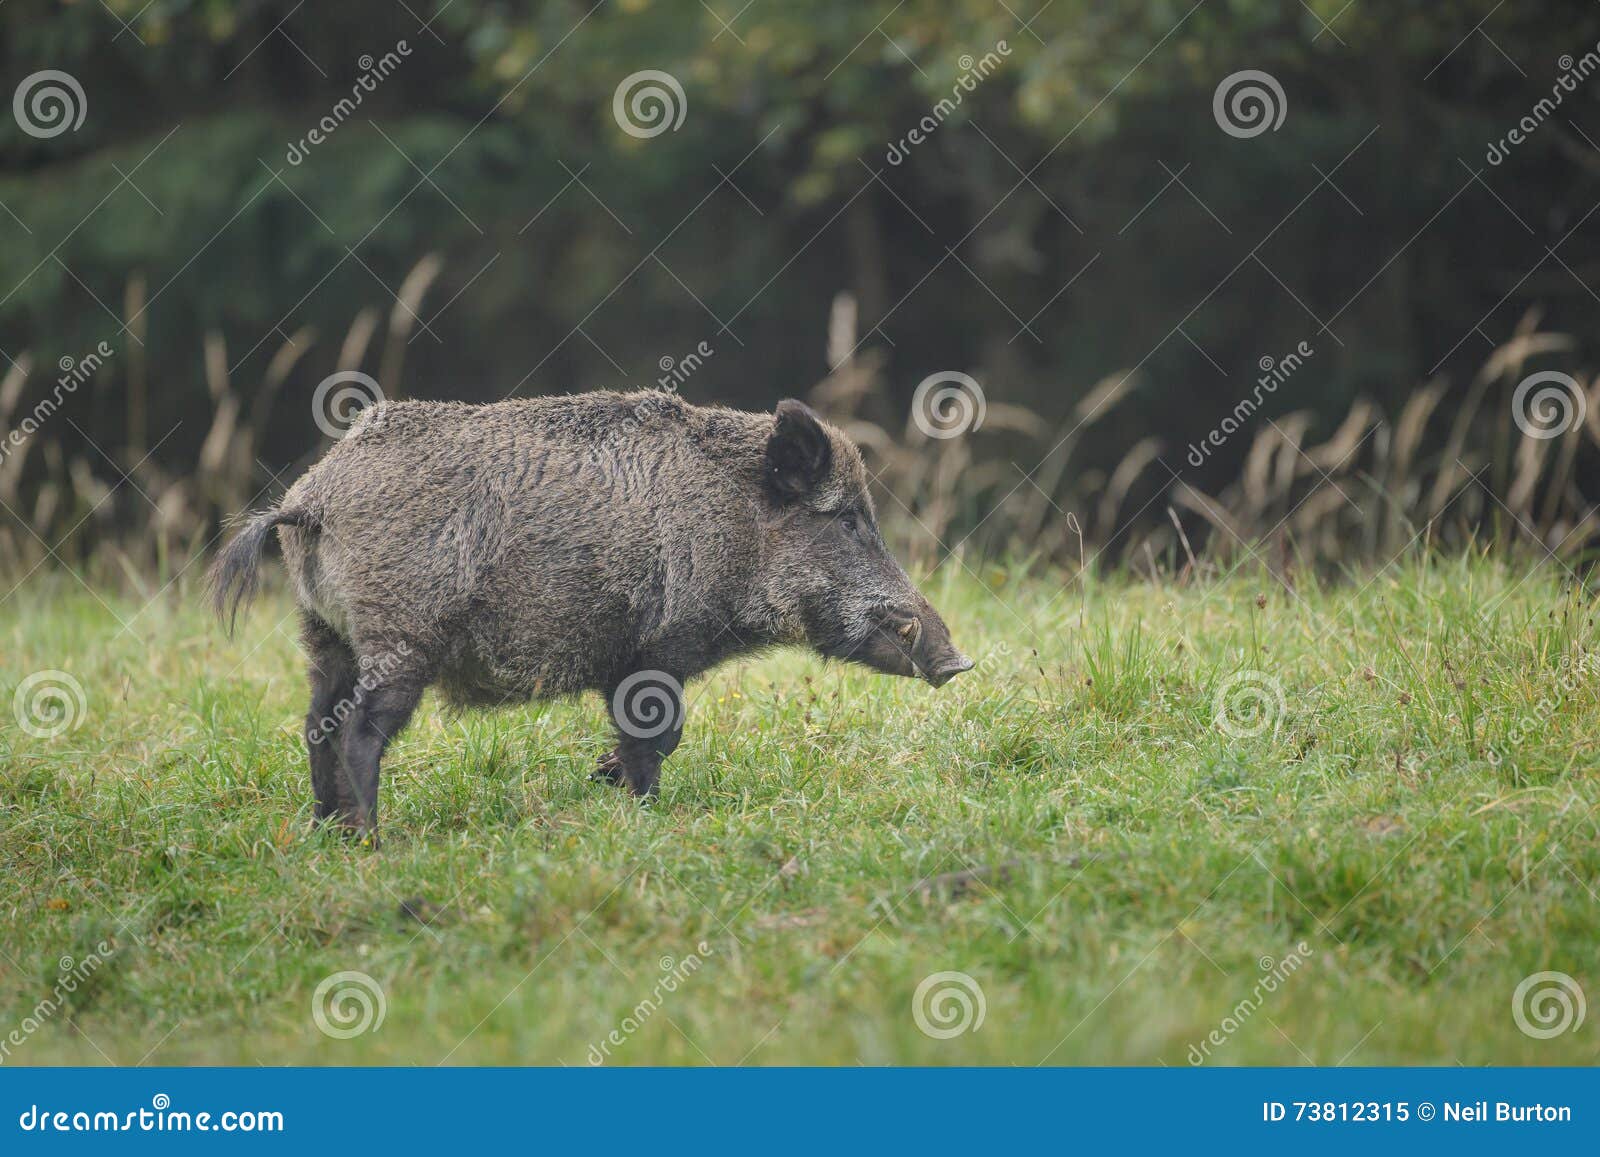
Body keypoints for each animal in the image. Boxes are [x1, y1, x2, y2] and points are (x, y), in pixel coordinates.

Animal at [209, 391, 973, 839]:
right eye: (847, 519)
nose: (958, 659)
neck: (733, 524)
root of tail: (309, 499)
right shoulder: (659, 647)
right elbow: (660, 735)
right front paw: (639, 806)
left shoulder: (628, 660)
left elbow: (653, 736)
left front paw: (605, 779)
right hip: (399, 633)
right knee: (358, 731)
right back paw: (372, 840)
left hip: (325, 636)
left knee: (315, 725)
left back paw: (325, 832)